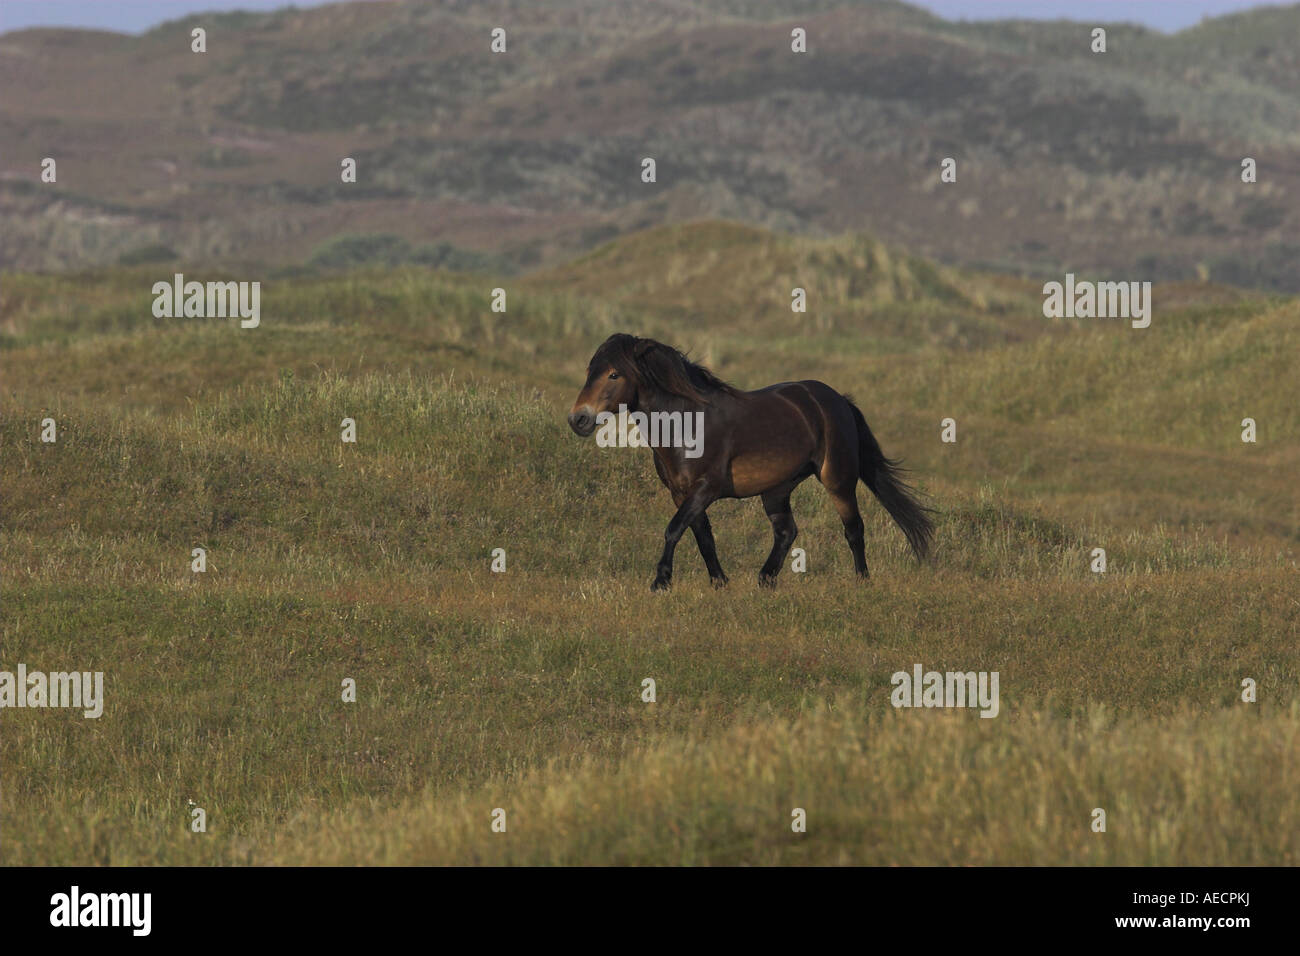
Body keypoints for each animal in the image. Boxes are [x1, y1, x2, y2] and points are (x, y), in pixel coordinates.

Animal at [567, 333, 935, 591]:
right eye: (589, 371)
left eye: (614, 375)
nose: (578, 419)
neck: (687, 423)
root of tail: (837, 400)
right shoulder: (681, 493)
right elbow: (702, 536)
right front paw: (719, 582)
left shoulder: (705, 488)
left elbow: (674, 529)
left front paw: (661, 581)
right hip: (776, 490)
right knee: (787, 532)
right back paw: (765, 580)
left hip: (838, 479)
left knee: (853, 529)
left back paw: (862, 581)